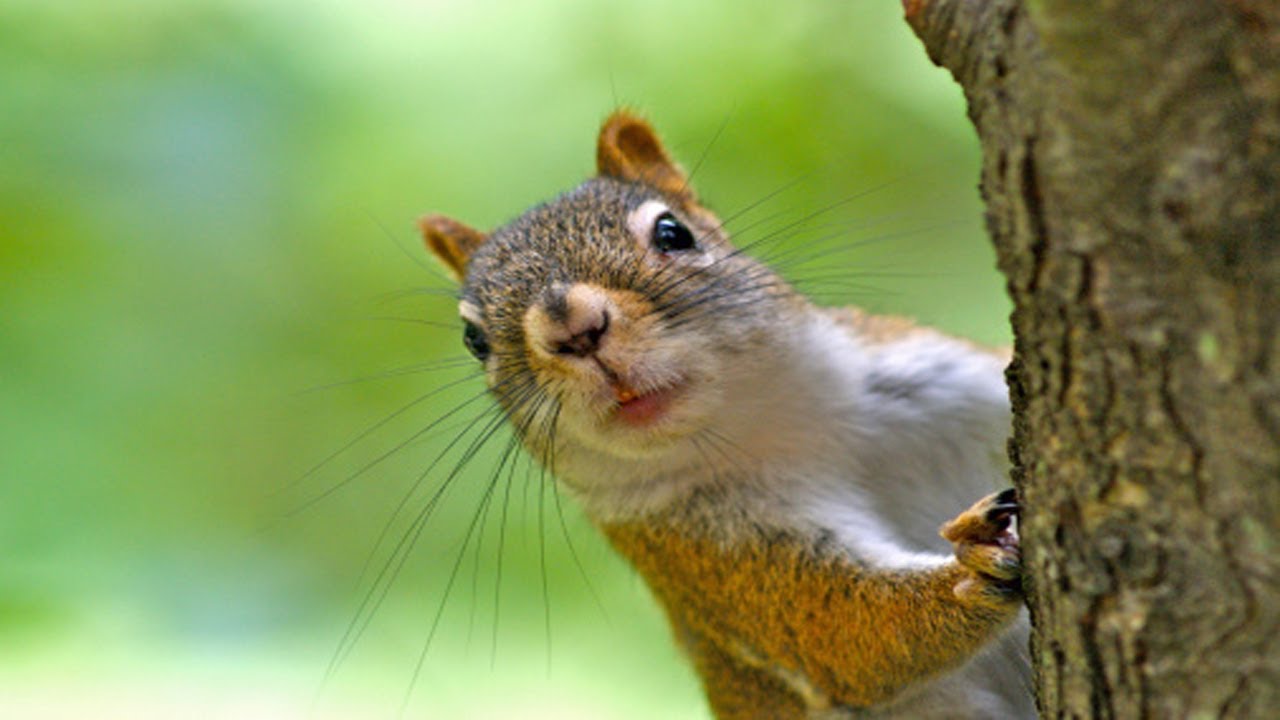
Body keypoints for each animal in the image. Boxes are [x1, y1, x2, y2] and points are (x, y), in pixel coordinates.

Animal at [417, 111, 1033, 719]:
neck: (777, 426)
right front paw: (973, 568)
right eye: (474, 339)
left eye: (673, 233)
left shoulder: (947, 377)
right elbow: (842, 627)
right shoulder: (707, 552)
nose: (573, 327)